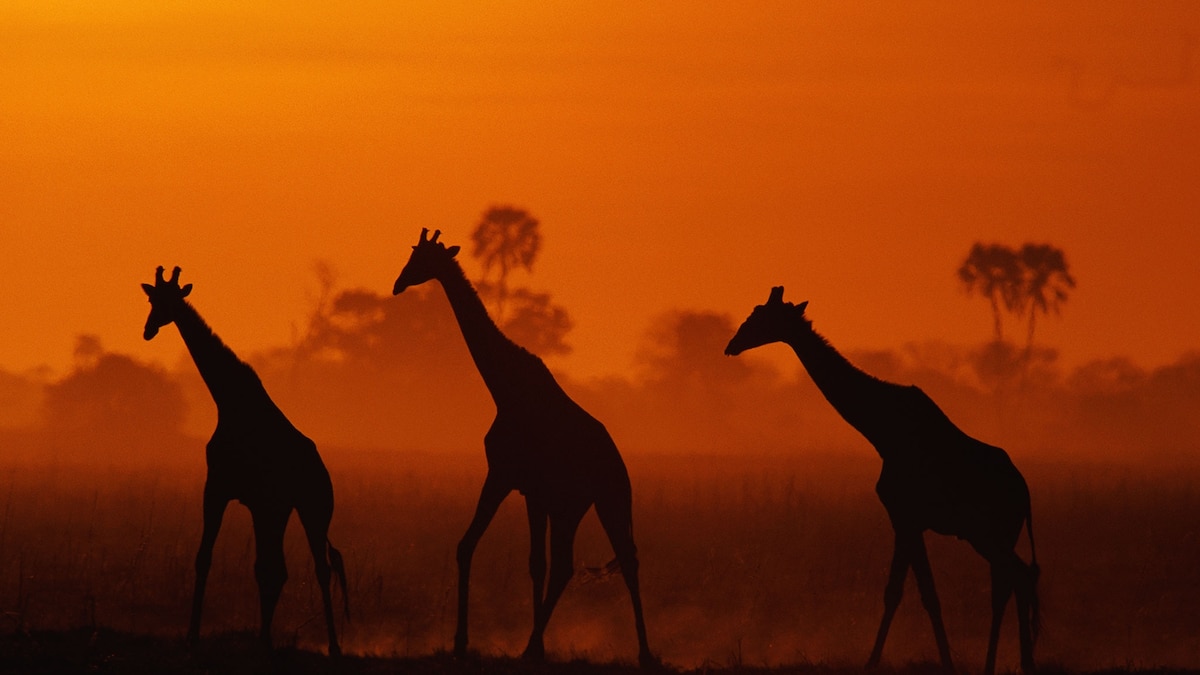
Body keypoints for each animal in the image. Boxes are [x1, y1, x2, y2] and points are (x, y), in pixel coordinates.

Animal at [141, 266, 348, 656]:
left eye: (168, 300)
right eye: (151, 299)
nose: (148, 329)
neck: (230, 401)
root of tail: (321, 472)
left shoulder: (231, 491)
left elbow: (230, 562)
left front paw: (197, 634)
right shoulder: (238, 496)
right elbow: (223, 561)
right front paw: (195, 633)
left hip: (308, 509)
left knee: (313, 567)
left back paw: (328, 646)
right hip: (286, 509)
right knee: (282, 568)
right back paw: (271, 639)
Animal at [392, 229, 655, 667]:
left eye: (424, 259)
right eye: (412, 254)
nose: (398, 284)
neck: (505, 389)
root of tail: (620, 466)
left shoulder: (503, 476)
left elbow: (476, 548)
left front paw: (465, 641)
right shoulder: (529, 490)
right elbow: (525, 561)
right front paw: (526, 644)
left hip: (599, 501)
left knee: (614, 561)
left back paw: (641, 653)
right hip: (581, 504)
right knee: (578, 564)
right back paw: (546, 645)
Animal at [725, 286, 1039, 675]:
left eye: (761, 316)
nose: (732, 344)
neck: (881, 429)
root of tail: (1024, 492)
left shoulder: (905, 516)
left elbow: (912, 593)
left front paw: (885, 661)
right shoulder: (908, 520)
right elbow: (911, 592)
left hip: (988, 533)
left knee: (1014, 578)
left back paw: (1011, 663)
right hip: (993, 534)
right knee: (1013, 579)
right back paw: (1010, 663)